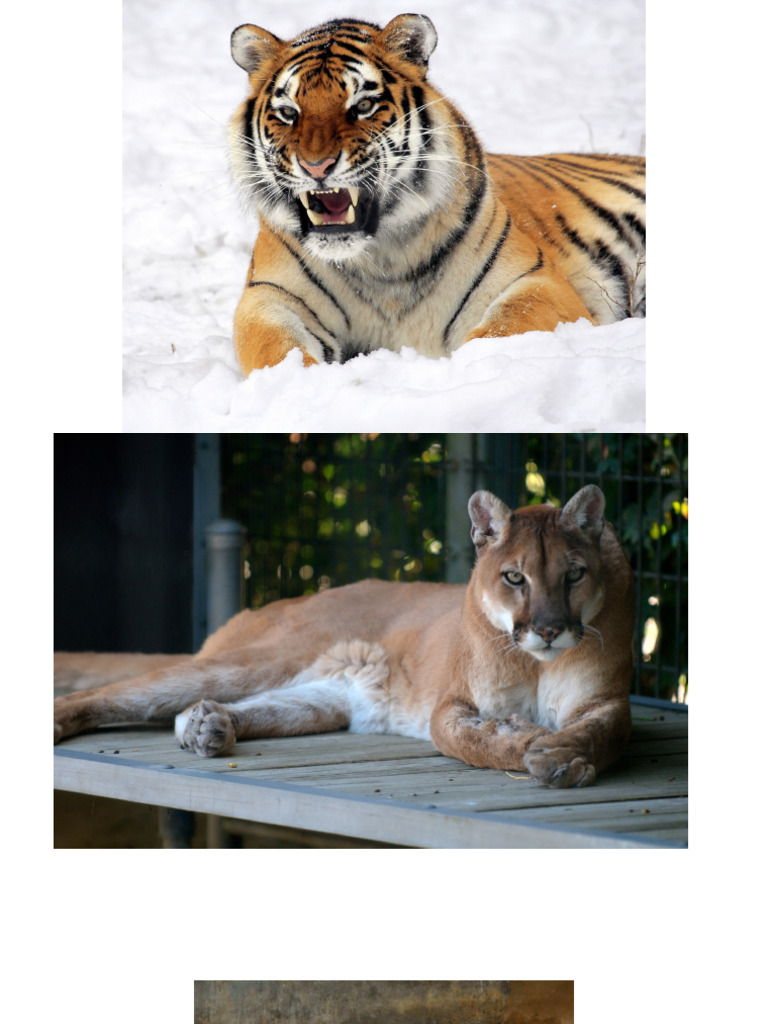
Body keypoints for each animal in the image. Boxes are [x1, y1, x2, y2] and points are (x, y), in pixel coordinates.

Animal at [228, 13, 645, 372]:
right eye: (288, 113)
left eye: (363, 105)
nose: (316, 167)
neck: (380, 262)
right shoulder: (269, 297)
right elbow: (275, 350)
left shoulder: (535, 281)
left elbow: (502, 330)